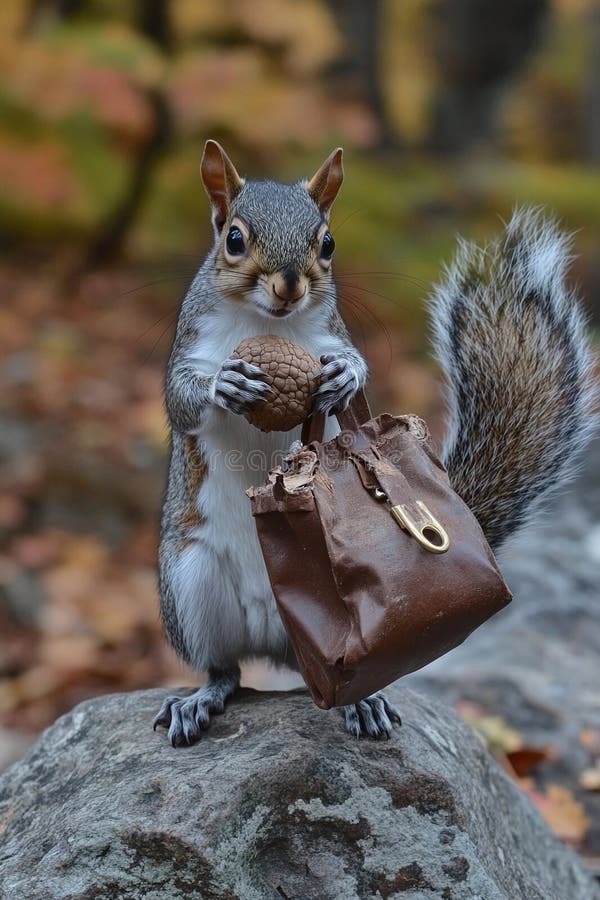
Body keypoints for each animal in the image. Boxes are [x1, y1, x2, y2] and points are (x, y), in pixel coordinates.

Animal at [153, 141, 595, 747]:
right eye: (234, 239)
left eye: (328, 243)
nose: (289, 284)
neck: (271, 325)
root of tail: (278, 639)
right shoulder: (188, 347)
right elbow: (182, 399)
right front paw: (227, 382)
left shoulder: (331, 334)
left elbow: (350, 365)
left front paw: (345, 376)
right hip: (190, 584)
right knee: (226, 670)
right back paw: (199, 700)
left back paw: (361, 703)